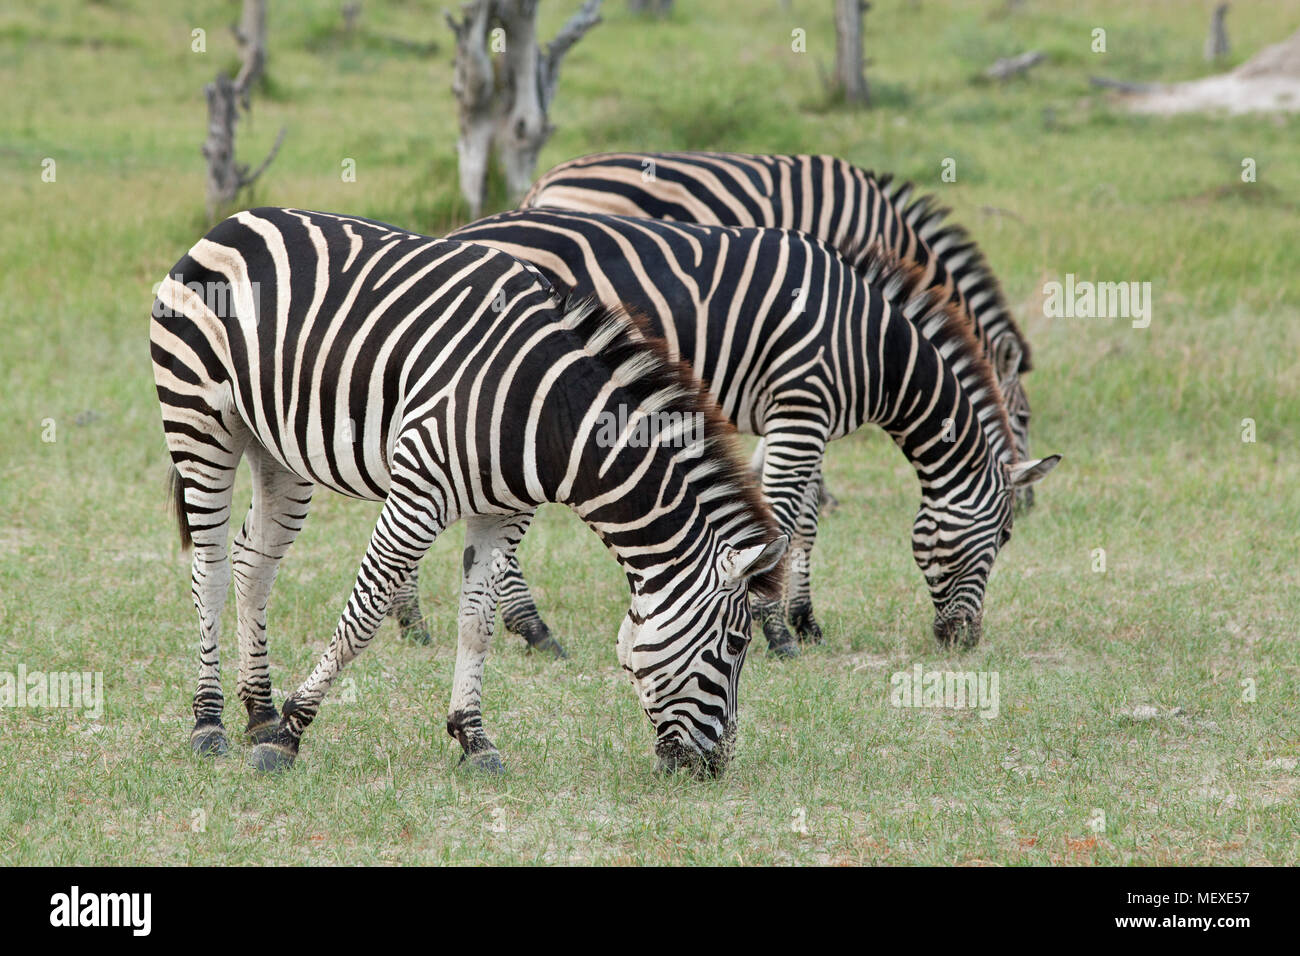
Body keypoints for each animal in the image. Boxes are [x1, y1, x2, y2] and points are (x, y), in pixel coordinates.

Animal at [151, 207, 789, 777]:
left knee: (252, 565)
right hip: (199, 420)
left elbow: (477, 621)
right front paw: (289, 733)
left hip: (278, 450)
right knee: (209, 569)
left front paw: (473, 737)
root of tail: (234, 221)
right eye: (736, 646)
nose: (713, 769)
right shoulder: (417, 494)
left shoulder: (505, 513)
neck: (547, 410)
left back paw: (256, 710)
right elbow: (362, 617)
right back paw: (210, 725)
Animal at [386, 208, 1061, 658]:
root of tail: (461, 235)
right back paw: (528, 628)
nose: (965, 642)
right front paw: (778, 631)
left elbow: (803, 520)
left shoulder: (803, 418)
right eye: (1003, 538)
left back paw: (419, 621)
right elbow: (784, 519)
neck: (875, 348)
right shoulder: (801, 407)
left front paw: (804, 619)